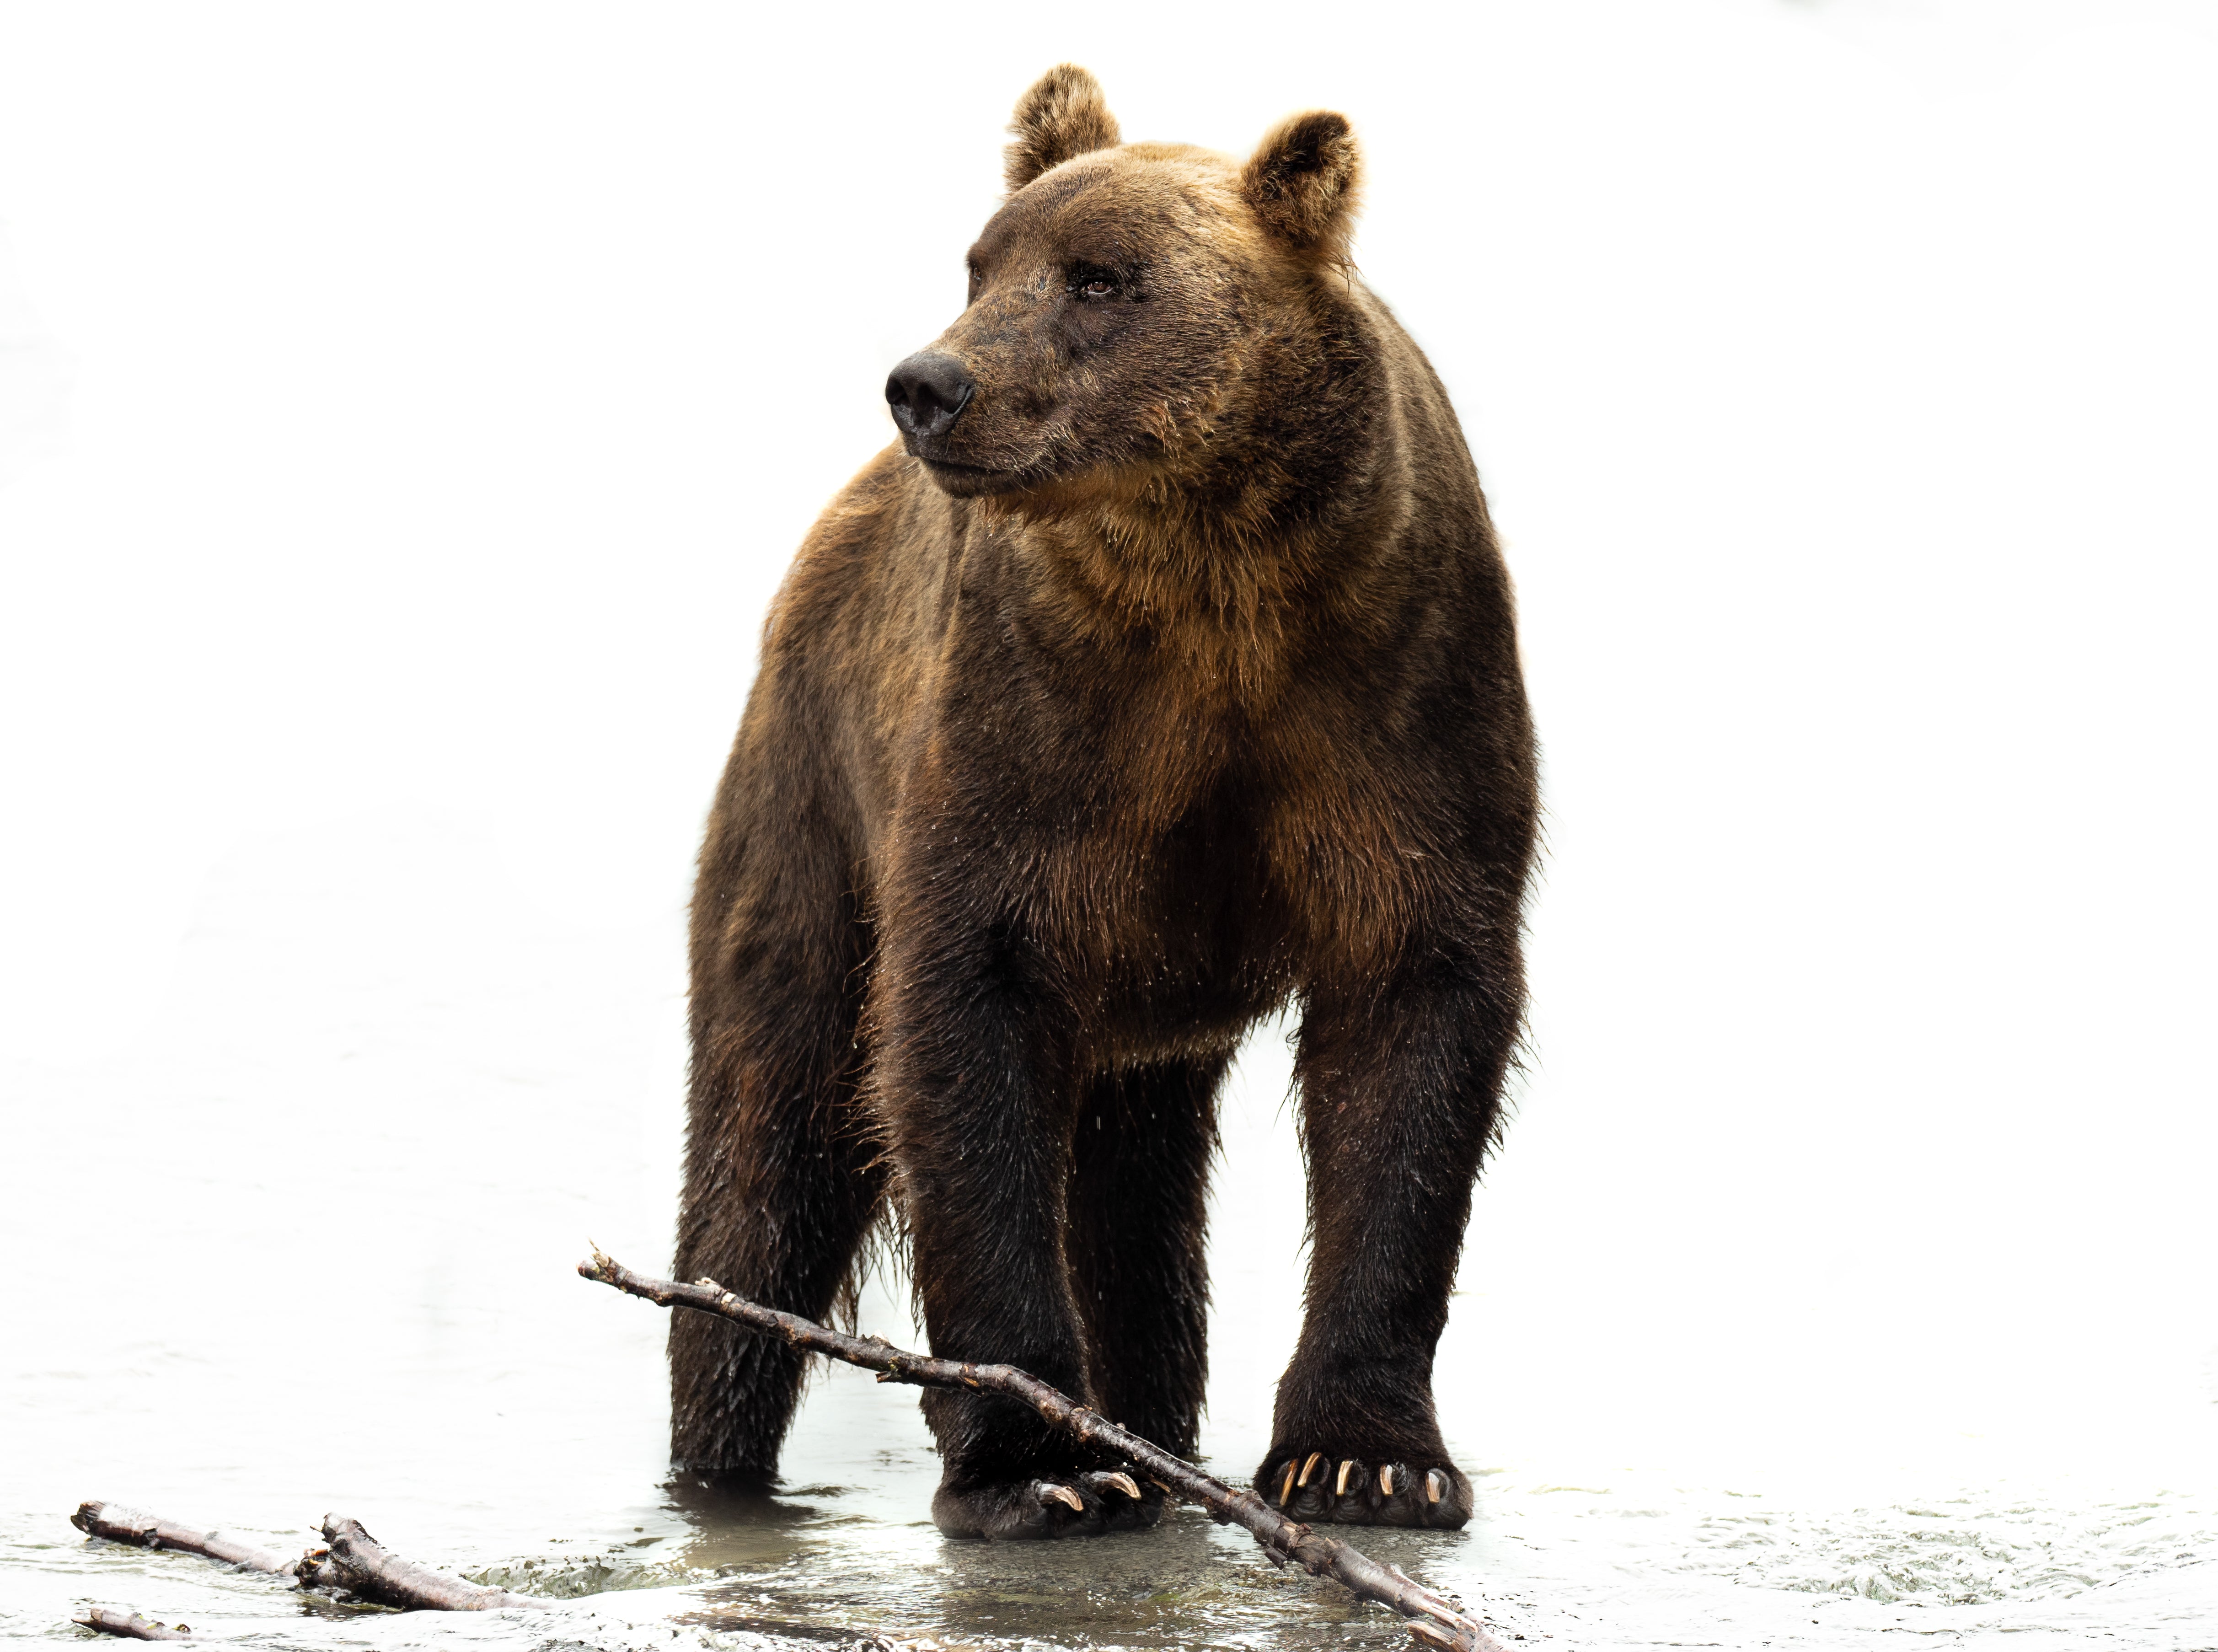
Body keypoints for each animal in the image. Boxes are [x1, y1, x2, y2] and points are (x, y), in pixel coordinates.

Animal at [670, 64, 1538, 1542]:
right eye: (979, 260)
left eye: (1099, 278)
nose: (928, 383)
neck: (1212, 580)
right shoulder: (1035, 744)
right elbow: (962, 1026)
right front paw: (1036, 1461)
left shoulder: (1392, 705)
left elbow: (1411, 1025)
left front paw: (1366, 1459)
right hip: (806, 803)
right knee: (766, 1144)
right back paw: (722, 1453)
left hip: (1141, 1011)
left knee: (1135, 1200)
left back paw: (1151, 1424)